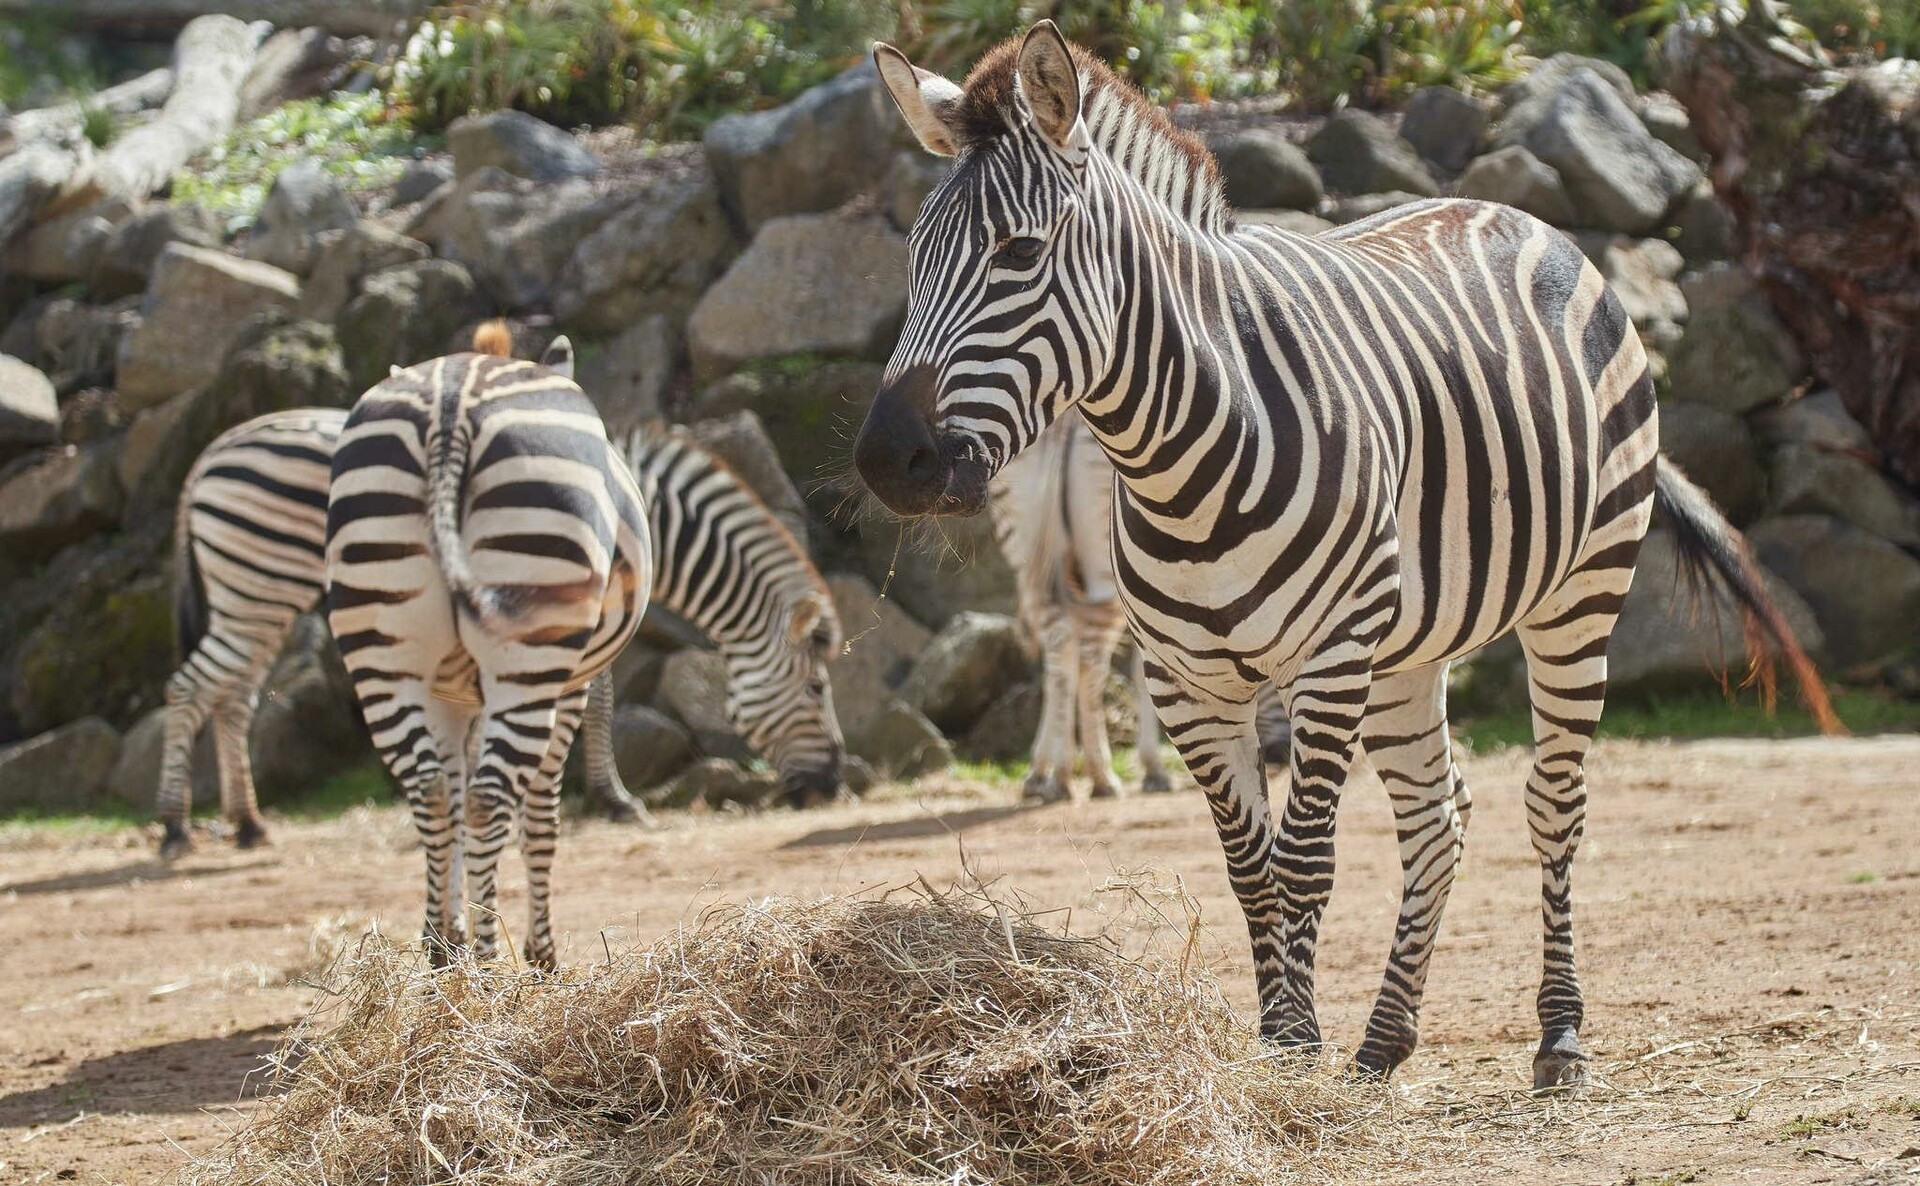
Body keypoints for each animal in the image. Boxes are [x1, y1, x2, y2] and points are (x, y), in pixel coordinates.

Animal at [160, 387, 845, 861]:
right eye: (817, 688)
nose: (833, 787)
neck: (649, 516)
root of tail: (208, 454)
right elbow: (600, 699)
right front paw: (614, 798)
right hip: (259, 586)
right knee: (189, 687)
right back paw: (174, 828)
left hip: (255, 596)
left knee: (232, 700)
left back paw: (248, 824)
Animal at [324, 328, 650, 968]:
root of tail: (452, 402)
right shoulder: (569, 689)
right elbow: (541, 818)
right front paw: (540, 953)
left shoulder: (449, 696)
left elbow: (451, 788)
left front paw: (445, 936)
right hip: (532, 646)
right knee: (490, 799)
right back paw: (491, 962)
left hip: (380, 650)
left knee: (432, 793)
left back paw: (442, 959)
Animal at [989, 413, 1289, 803]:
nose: (1281, 754)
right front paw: (1153, 767)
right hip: (1103, 561)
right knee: (1087, 656)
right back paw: (1094, 775)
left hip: (1027, 546)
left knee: (1058, 646)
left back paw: (1052, 774)